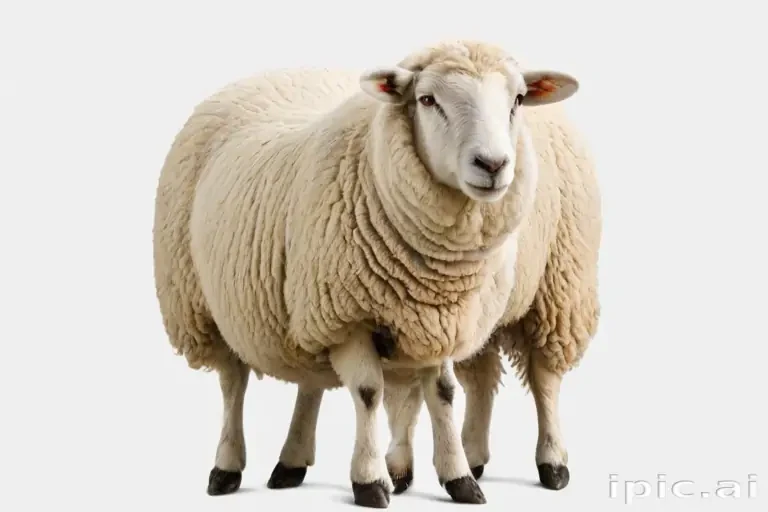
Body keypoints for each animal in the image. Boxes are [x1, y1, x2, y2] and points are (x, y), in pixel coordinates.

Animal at [152, 39, 581, 508]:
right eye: (427, 100)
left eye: (518, 100)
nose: (492, 164)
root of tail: (268, 75)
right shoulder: (351, 319)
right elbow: (369, 393)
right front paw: (371, 481)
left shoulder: (436, 317)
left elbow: (442, 394)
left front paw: (459, 478)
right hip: (205, 303)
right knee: (234, 384)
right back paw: (228, 467)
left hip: (553, 293)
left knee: (538, 378)